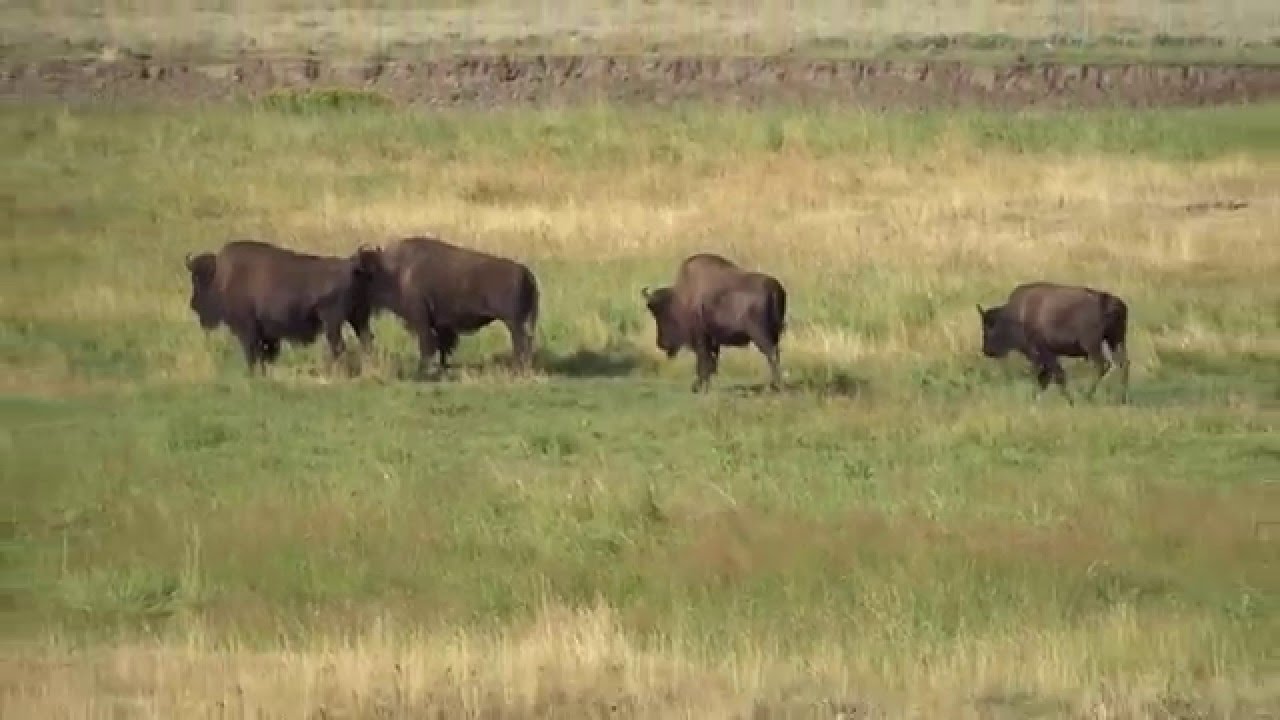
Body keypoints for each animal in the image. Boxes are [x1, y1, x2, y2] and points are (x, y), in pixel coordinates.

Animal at [184, 239, 379, 374]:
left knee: (338, 346)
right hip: (358, 318)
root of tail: (352, 265)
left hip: (333, 322)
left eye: (196, 279)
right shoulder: (268, 334)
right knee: (366, 341)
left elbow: (252, 354)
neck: (221, 277)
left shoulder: (248, 331)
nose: (193, 304)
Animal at [362, 235, 540, 378]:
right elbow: (443, 346)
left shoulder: (421, 320)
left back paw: (518, 370)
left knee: (521, 343)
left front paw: (423, 370)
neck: (395, 271)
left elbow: (427, 344)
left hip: (513, 322)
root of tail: (526, 272)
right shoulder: (441, 325)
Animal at [642, 253, 787, 393]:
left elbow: (703, 362)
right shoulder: (713, 341)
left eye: (662, 315)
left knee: (772, 355)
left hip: (760, 335)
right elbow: (712, 362)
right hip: (774, 333)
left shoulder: (701, 338)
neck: (681, 299)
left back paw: (776, 387)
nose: (661, 343)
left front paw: (698, 387)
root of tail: (775, 288)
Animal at [976, 281, 1131, 404]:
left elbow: (1052, 375)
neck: (1018, 315)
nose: (986, 350)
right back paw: (1121, 399)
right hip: (1116, 341)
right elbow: (1049, 376)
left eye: (988, 329)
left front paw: (1069, 400)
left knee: (1102, 365)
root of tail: (1108, 301)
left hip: (1092, 345)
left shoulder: (1042, 351)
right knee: (1123, 364)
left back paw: (1087, 396)